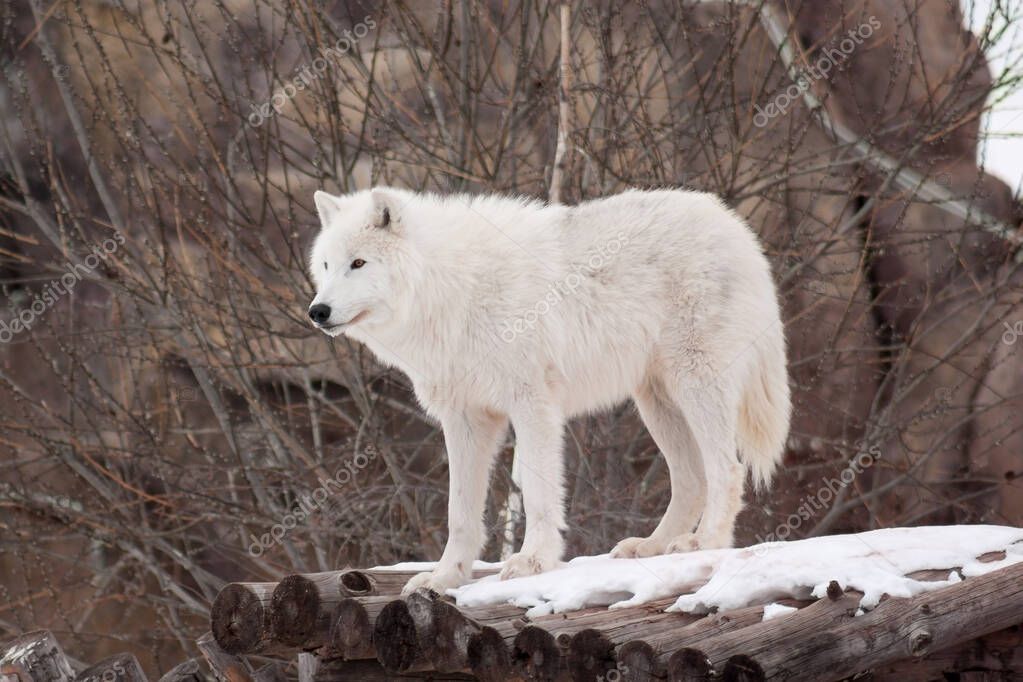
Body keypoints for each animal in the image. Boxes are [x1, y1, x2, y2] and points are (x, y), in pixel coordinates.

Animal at [308, 187, 790, 594]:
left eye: (358, 263)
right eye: (326, 266)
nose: (317, 311)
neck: (450, 286)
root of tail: (733, 224)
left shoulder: (532, 404)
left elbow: (538, 493)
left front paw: (532, 561)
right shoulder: (466, 420)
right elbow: (459, 512)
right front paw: (446, 577)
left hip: (695, 384)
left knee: (726, 470)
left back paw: (703, 542)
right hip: (657, 402)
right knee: (691, 479)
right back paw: (651, 545)